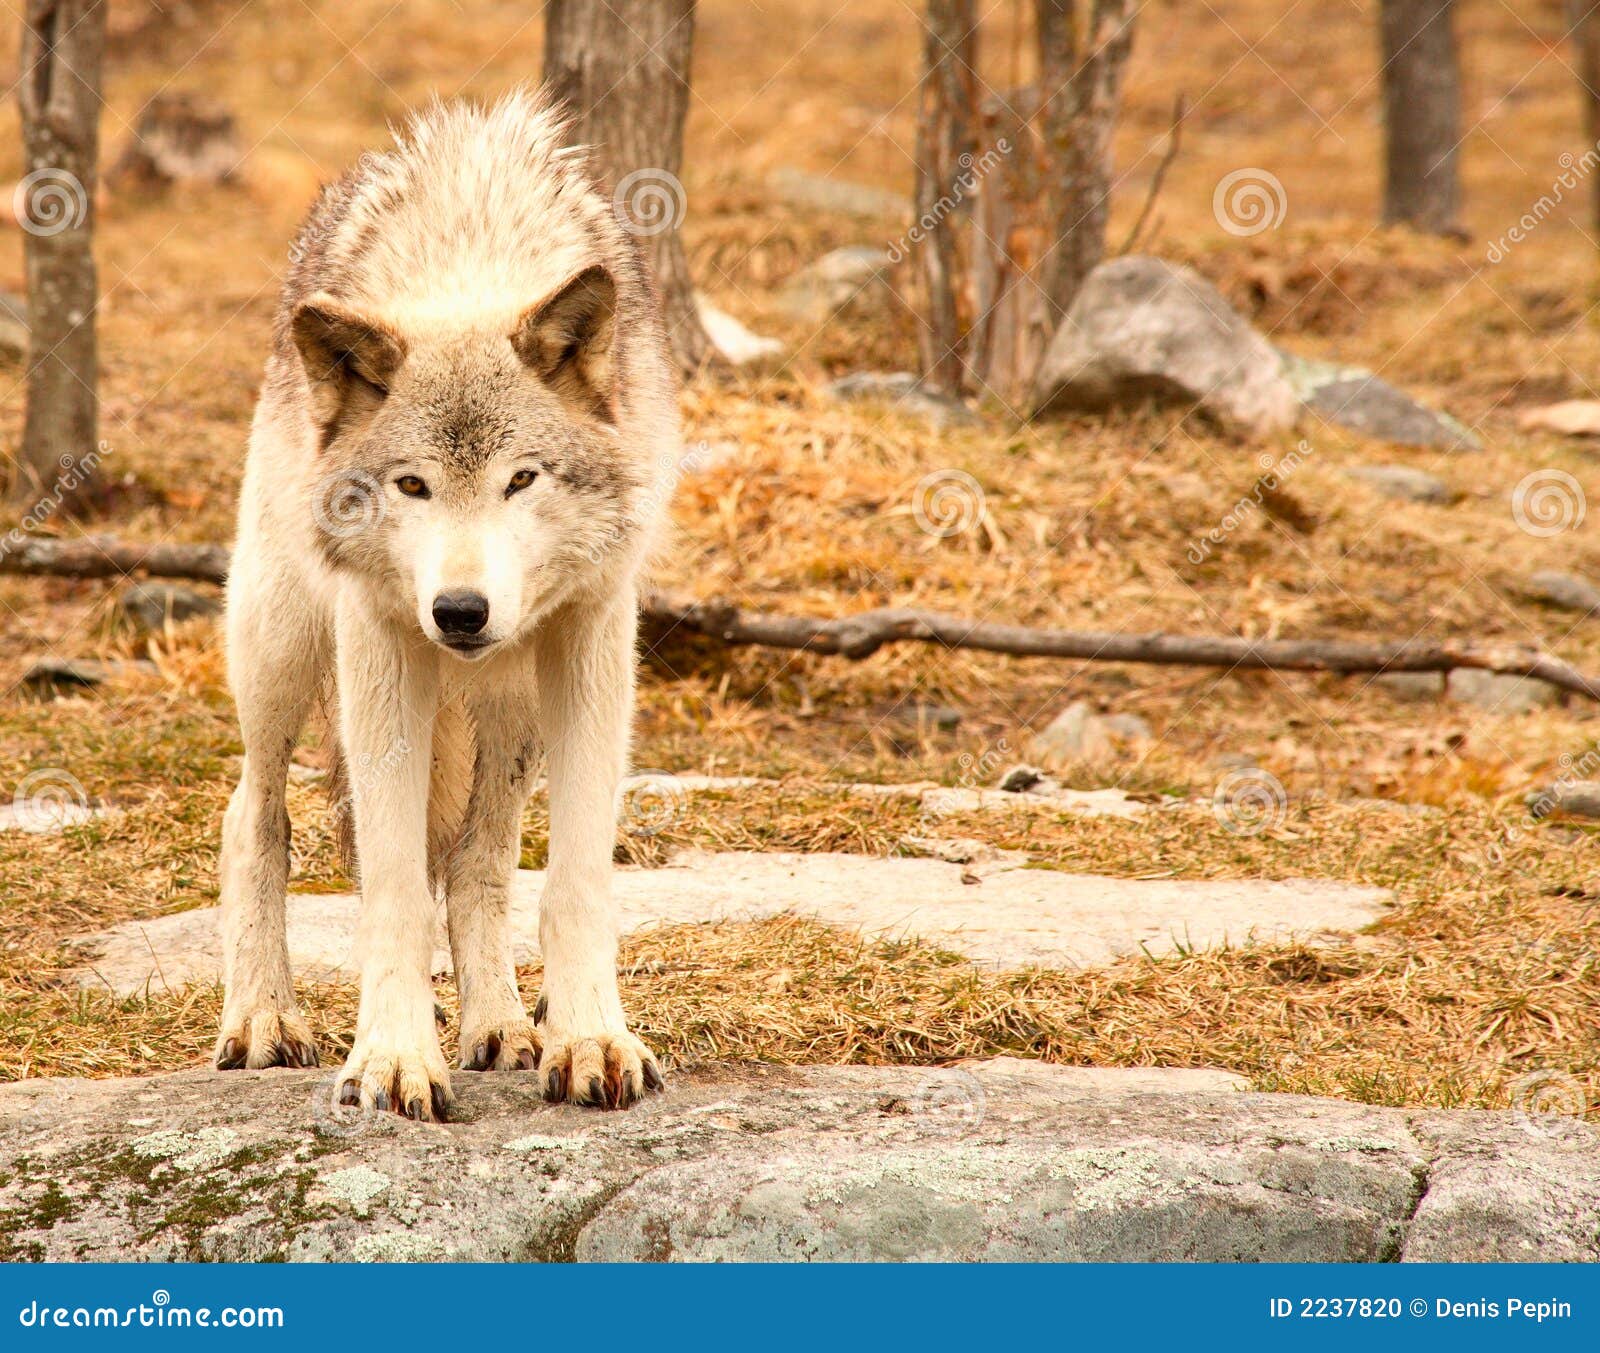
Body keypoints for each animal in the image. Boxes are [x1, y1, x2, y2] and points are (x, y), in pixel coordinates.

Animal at [214, 91, 676, 1119]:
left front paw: (588, 1038)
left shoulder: (592, 633)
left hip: (512, 706)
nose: (460, 612)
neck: (471, 250)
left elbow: (572, 878)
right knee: (255, 816)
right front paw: (392, 1056)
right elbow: (389, 885)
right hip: (280, 646)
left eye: (521, 479)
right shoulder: (381, 641)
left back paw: (499, 1024)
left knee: (477, 863)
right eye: (414, 485)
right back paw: (262, 1017)